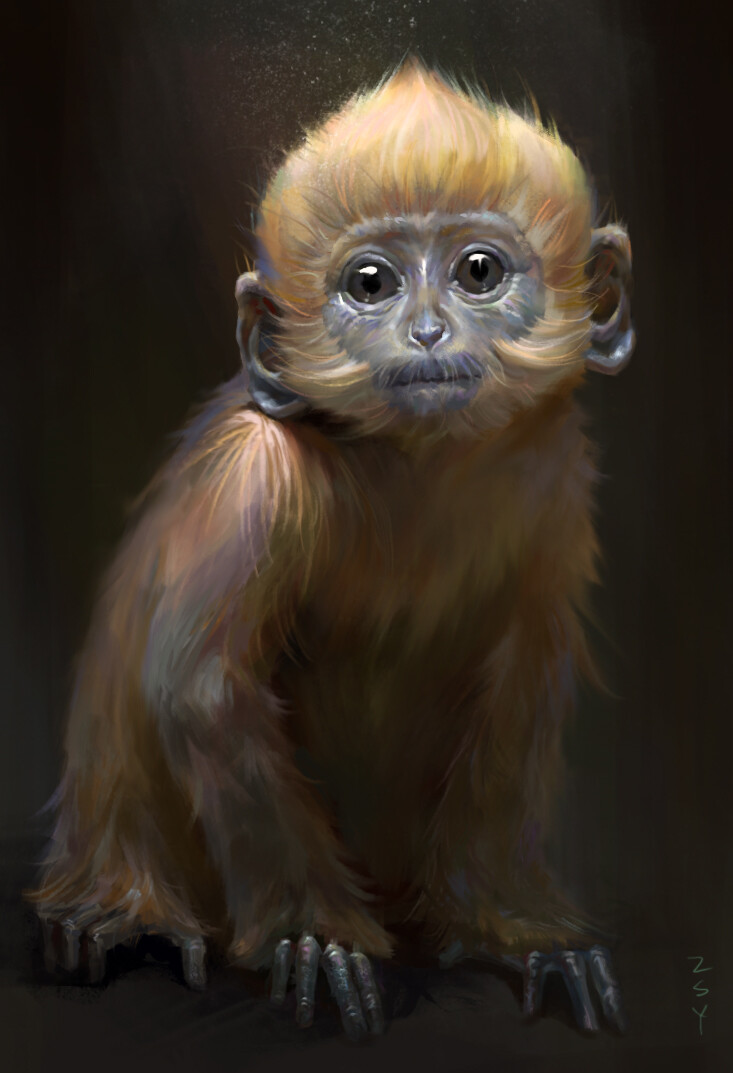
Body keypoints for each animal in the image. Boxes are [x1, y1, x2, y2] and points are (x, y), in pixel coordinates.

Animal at [29, 61, 634, 1039]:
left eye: (476, 271)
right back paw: (123, 914)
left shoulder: (556, 476)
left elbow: (520, 685)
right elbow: (205, 688)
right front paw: (314, 938)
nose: (425, 331)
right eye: (371, 283)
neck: (418, 466)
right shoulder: (255, 479)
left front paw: (514, 928)